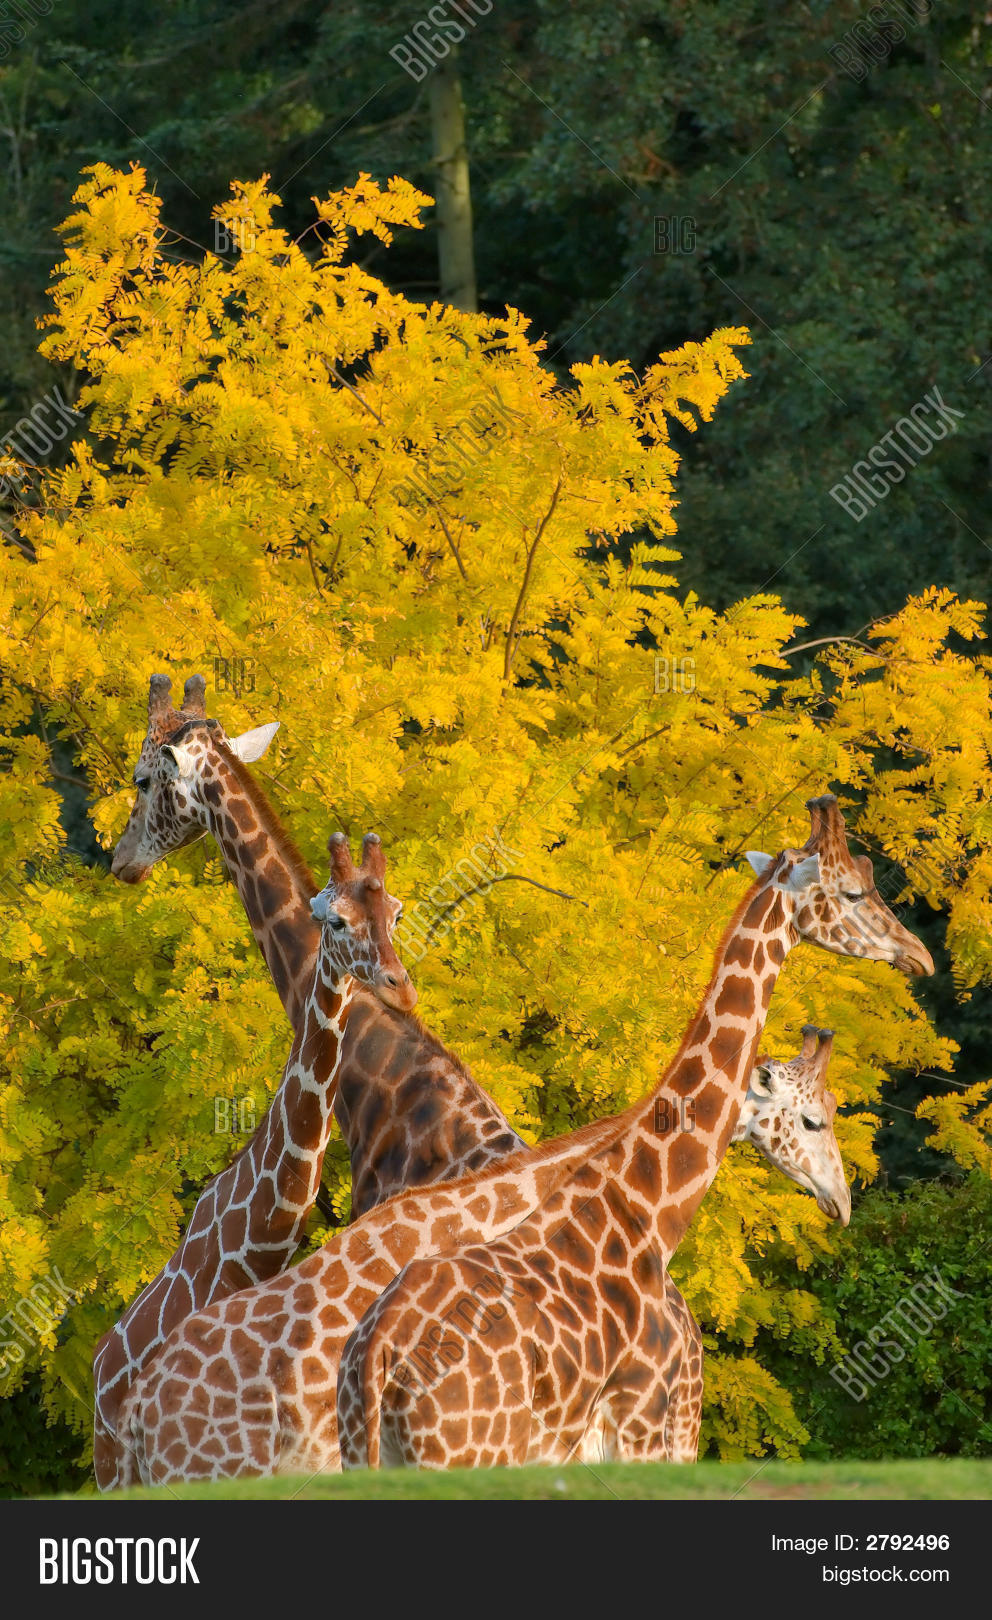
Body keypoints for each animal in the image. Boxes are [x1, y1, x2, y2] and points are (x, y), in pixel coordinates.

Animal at [93, 829, 415, 1490]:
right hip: (117, 1469)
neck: (252, 1247)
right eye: (336, 920)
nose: (401, 986)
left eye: (395, 912)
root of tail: (95, 1376)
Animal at [335, 795, 933, 1470]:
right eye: (854, 891)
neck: (641, 1209)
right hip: (466, 1454)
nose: (919, 952)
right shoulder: (638, 1423)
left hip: (367, 1449)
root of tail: (379, 1357)